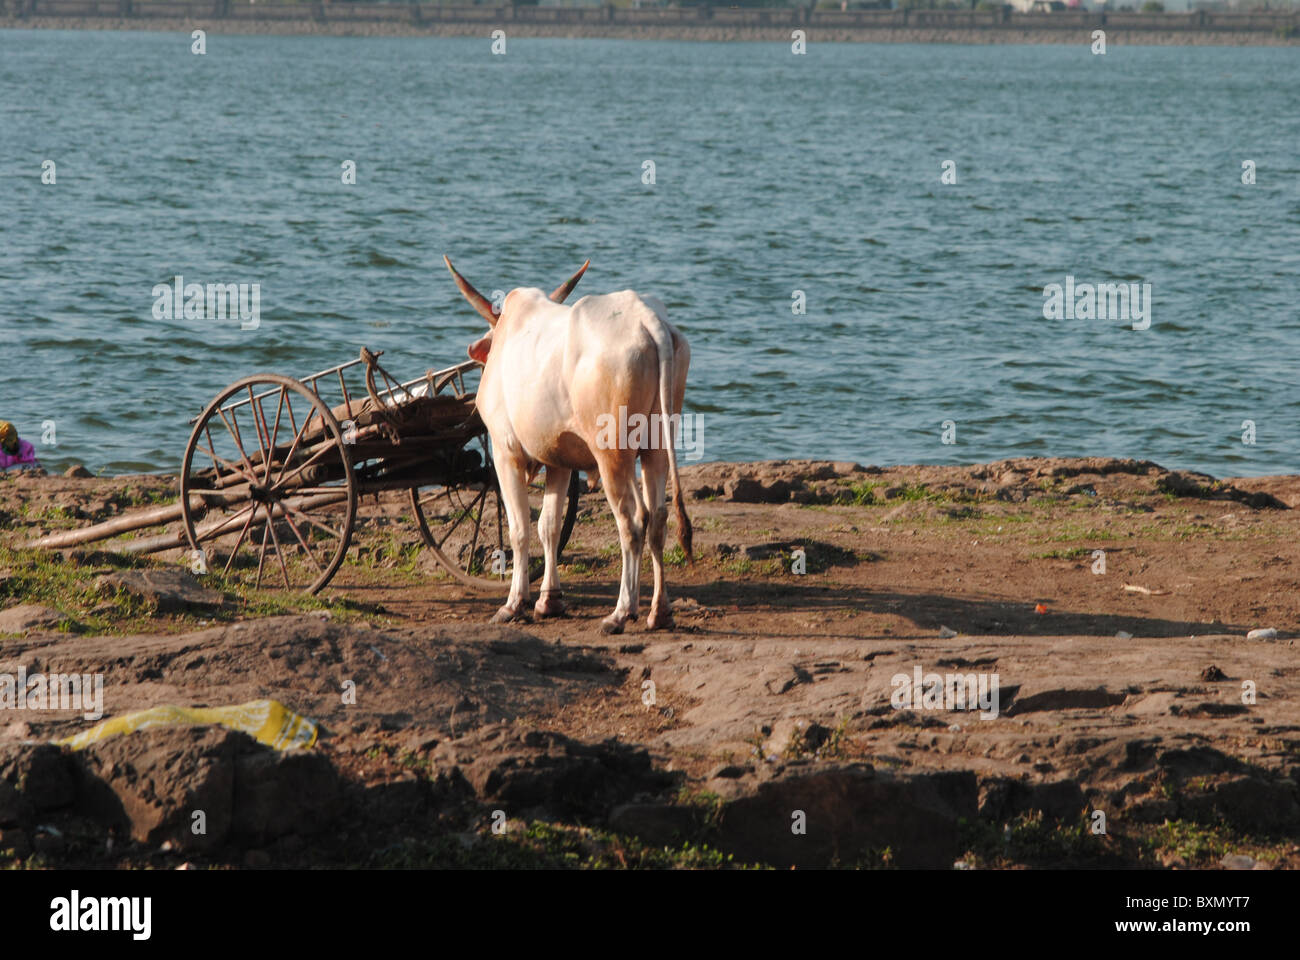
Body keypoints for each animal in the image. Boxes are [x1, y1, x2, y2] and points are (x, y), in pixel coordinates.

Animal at [443, 255, 693, 634]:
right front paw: (549, 601)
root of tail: (648, 319)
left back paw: (621, 613)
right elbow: (549, 526)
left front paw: (514, 604)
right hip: (657, 445)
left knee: (632, 522)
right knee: (658, 518)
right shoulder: (557, 460)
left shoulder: (505, 452)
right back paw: (659, 612)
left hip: (612, 453)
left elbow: (519, 529)